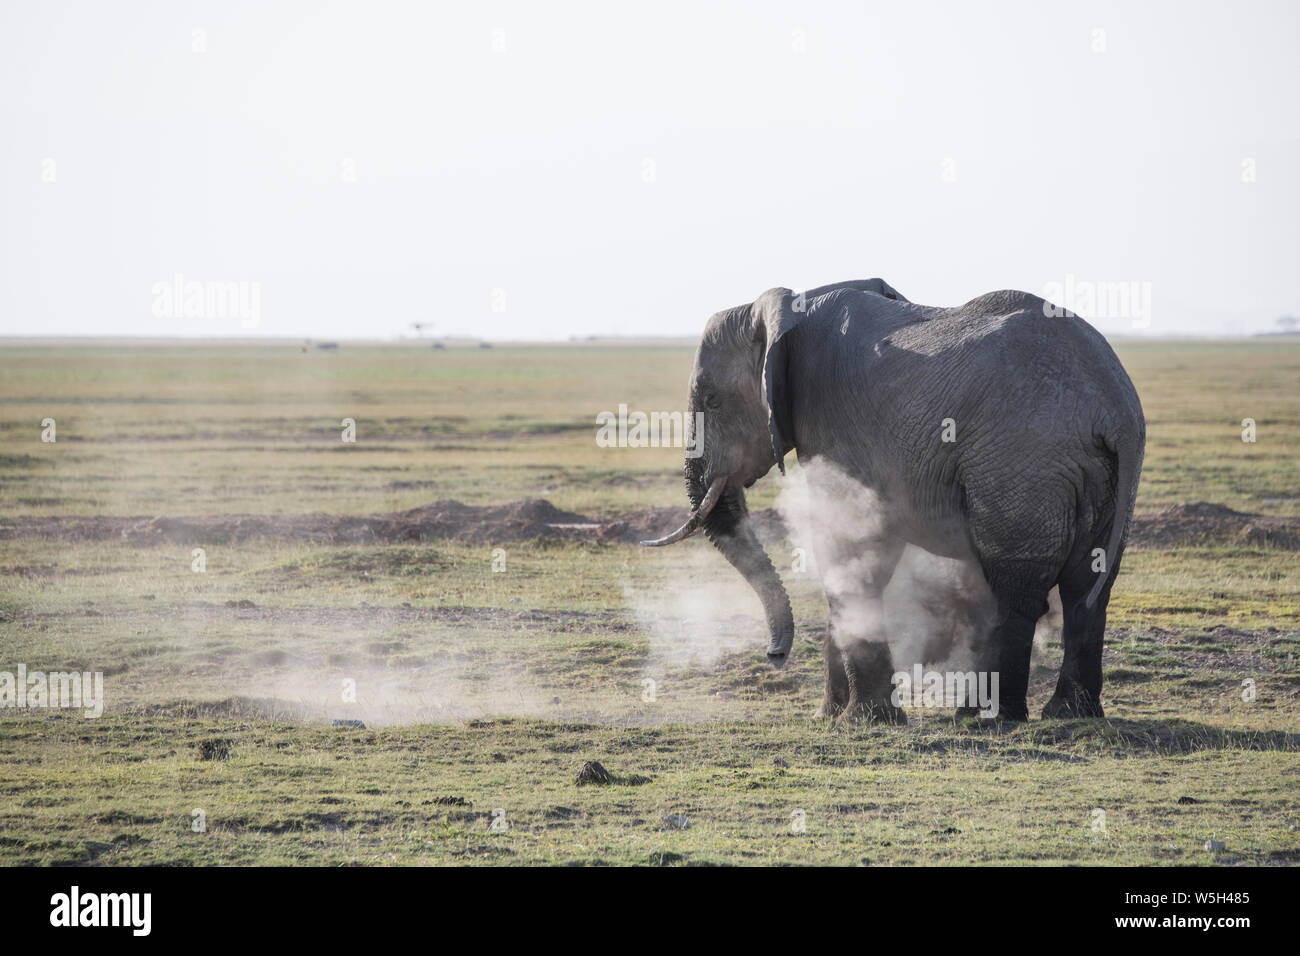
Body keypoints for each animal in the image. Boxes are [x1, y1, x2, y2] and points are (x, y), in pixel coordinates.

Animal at [642, 278, 1145, 723]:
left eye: (711, 400)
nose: (774, 655)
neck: (792, 307)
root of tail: (1114, 407)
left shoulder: (836, 422)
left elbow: (849, 549)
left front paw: (864, 720)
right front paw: (831, 718)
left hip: (1021, 462)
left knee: (1014, 588)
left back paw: (990, 718)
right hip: (1101, 479)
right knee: (1088, 588)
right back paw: (1066, 714)